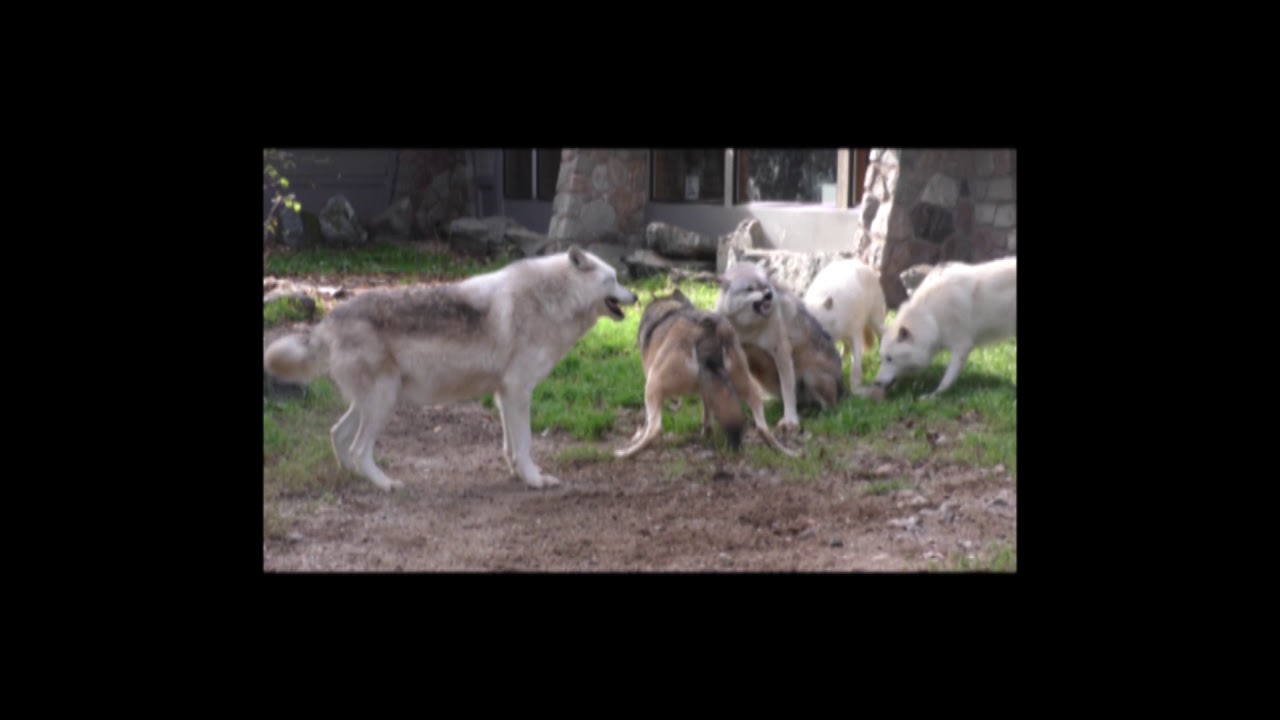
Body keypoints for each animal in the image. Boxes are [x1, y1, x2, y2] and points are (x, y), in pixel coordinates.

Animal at [263, 246, 638, 490]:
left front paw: (519, 475)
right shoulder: (518, 392)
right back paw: (386, 485)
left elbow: (510, 447)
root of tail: (325, 324)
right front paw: (535, 480)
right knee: (358, 449)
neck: (550, 300)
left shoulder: (504, 395)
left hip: (372, 402)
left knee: (337, 435)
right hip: (383, 403)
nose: (635, 297)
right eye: (614, 279)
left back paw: (353, 479)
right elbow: (525, 444)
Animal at [615, 289, 797, 459]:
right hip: (749, 386)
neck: (671, 307)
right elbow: (708, 412)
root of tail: (707, 330)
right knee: (762, 428)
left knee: (654, 429)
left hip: (652, 384)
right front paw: (706, 433)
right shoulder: (709, 388)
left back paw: (625, 452)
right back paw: (790, 452)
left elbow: (647, 421)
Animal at [715, 261, 846, 433]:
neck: (748, 329)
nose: (768, 295)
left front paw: (790, 421)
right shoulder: (735, 355)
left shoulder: (781, 353)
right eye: (750, 289)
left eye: (765, 286)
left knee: (829, 406)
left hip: (811, 376)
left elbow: (787, 390)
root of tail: (844, 388)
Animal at [802, 258, 887, 392]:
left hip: (876, 321)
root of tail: (861, 263)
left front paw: (856, 388)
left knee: (882, 334)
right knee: (845, 348)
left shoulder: (855, 334)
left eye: (820, 328)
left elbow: (856, 366)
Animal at [874, 256, 1016, 397]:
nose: (876, 383)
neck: (931, 317)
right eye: (882, 359)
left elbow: (946, 379)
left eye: (890, 359)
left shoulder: (962, 347)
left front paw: (933, 395)